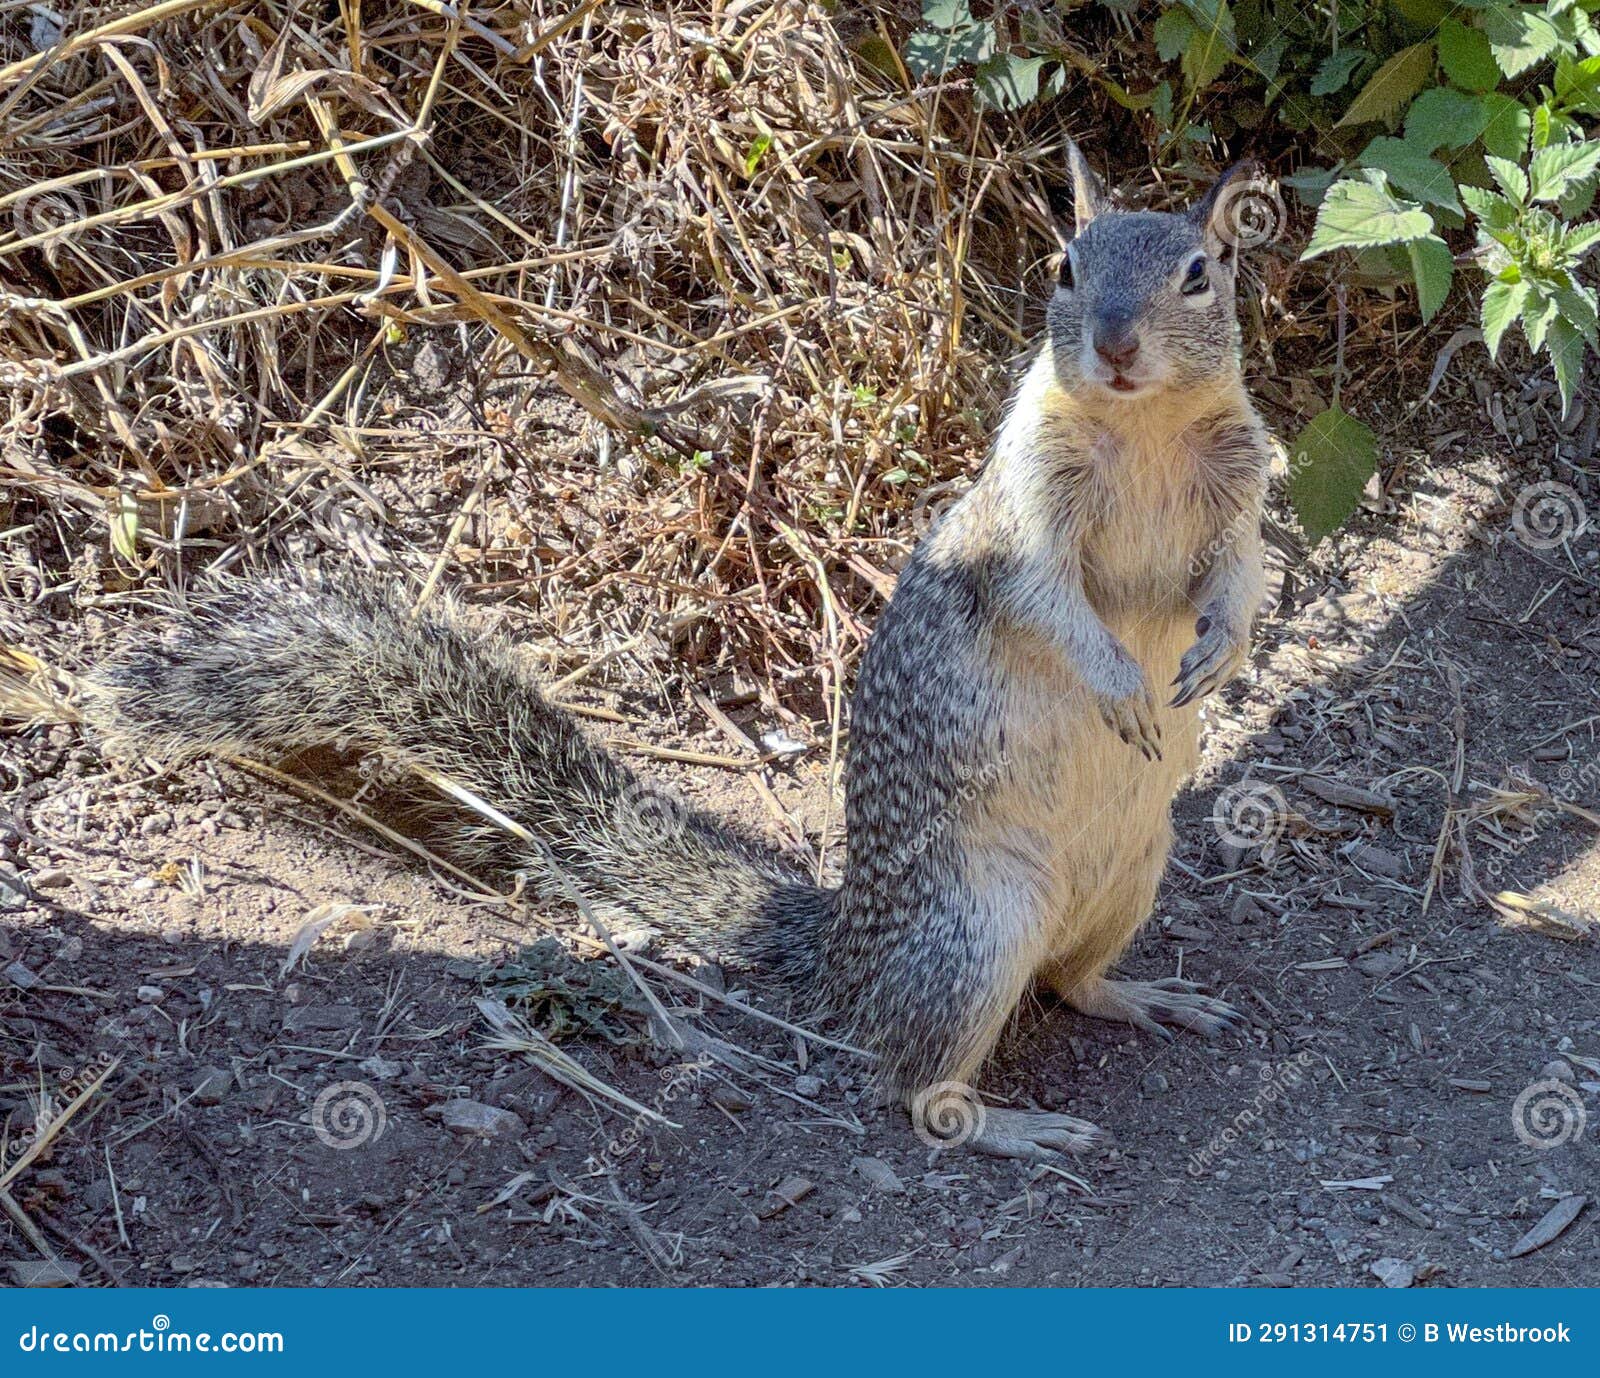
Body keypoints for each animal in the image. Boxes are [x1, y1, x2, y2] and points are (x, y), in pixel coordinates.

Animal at [83, 143, 1270, 1162]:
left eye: (1200, 274)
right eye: (1065, 266)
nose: (1115, 344)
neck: (1144, 430)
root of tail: (843, 949)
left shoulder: (1240, 493)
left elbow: (1240, 577)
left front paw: (1220, 652)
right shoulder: (1021, 520)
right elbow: (1047, 604)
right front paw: (1120, 683)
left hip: (1133, 871)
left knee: (1069, 984)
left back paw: (1142, 994)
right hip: (974, 936)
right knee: (908, 1081)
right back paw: (1007, 1124)